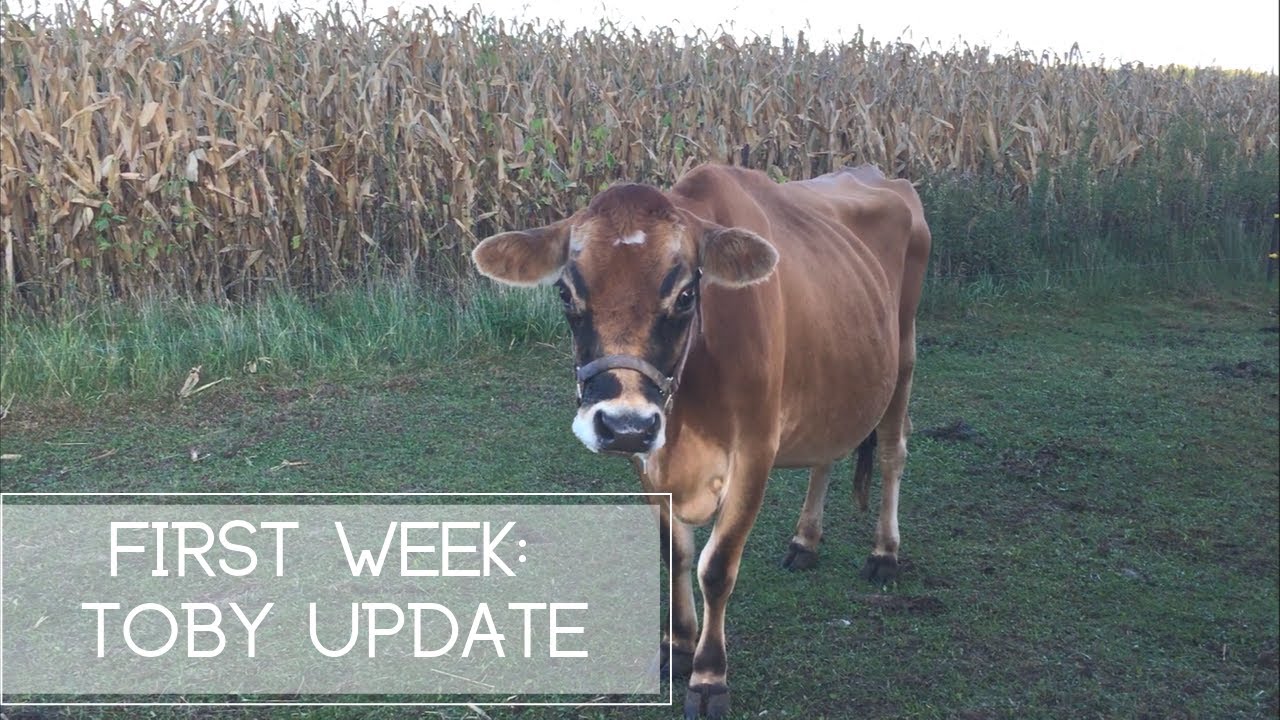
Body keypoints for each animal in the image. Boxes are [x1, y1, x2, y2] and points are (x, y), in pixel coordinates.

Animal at [470, 162, 931, 718]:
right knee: (825, 455)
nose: (624, 425)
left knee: (891, 453)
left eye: (686, 295)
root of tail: (879, 174)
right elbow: (675, 554)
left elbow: (716, 566)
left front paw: (709, 675)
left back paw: (885, 553)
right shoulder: (649, 459)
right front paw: (676, 648)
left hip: (903, 357)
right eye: (566, 294)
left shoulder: (755, 452)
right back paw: (805, 541)